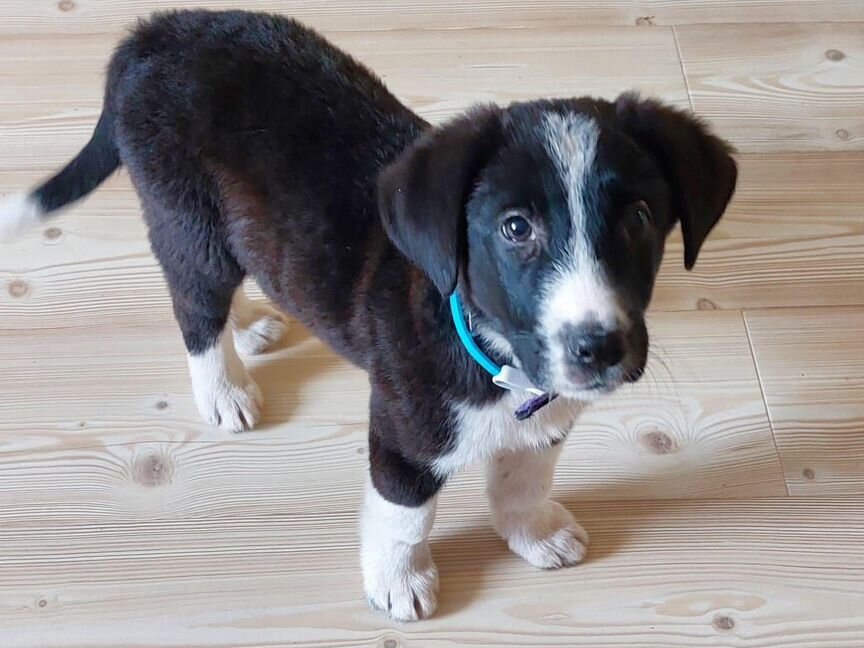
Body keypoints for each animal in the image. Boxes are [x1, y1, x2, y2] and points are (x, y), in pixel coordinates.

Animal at [0, 10, 737, 621]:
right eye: (515, 228)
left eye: (639, 218)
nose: (598, 348)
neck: (490, 346)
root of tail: (153, 33)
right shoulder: (405, 433)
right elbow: (404, 517)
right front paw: (399, 582)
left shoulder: (547, 417)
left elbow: (523, 476)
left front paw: (534, 531)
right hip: (188, 220)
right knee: (194, 305)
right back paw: (225, 385)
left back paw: (251, 324)